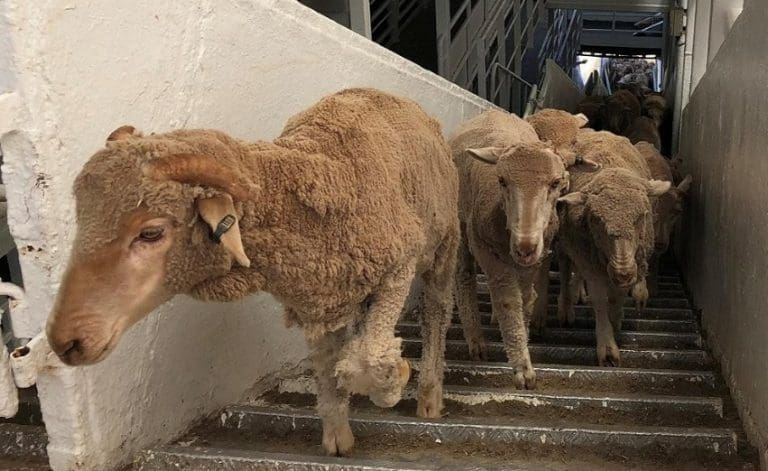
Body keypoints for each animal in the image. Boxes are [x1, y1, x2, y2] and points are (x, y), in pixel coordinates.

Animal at [44, 88, 460, 456]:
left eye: (150, 233)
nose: (66, 341)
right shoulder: (316, 299)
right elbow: (328, 367)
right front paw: (337, 435)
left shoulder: (399, 264)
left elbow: (370, 356)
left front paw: (394, 378)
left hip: (443, 246)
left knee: (436, 315)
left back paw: (429, 396)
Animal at [450, 109, 598, 387]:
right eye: (501, 180)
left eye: (554, 182)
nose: (525, 246)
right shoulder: (486, 249)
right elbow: (509, 301)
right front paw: (522, 369)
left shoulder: (536, 256)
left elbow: (527, 298)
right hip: (462, 224)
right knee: (464, 277)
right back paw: (476, 342)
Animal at [557, 130, 671, 366]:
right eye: (597, 219)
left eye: (642, 216)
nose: (623, 272)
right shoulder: (591, 265)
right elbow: (600, 300)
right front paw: (607, 347)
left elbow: (617, 298)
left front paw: (616, 322)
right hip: (568, 244)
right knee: (564, 269)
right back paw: (566, 307)